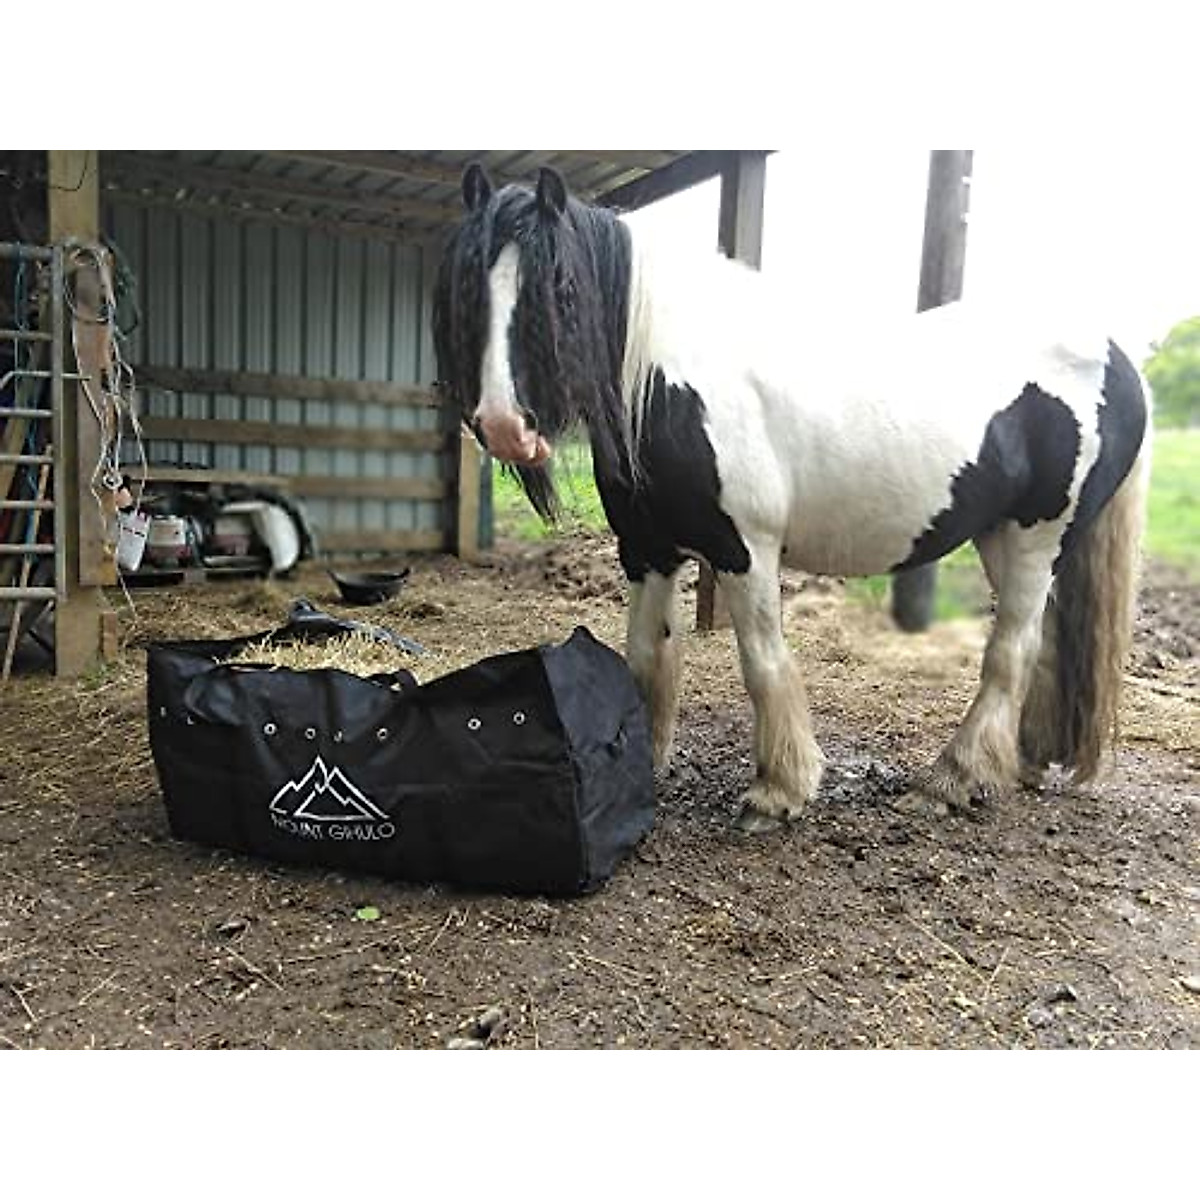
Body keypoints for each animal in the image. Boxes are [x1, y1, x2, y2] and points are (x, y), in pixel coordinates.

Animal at [433, 162, 1150, 831]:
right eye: (470, 287)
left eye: (560, 288)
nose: (504, 427)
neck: (671, 382)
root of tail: (1118, 359)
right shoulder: (647, 550)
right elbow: (646, 657)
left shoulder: (743, 550)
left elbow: (762, 663)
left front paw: (778, 790)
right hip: (1002, 536)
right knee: (1045, 645)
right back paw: (1023, 760)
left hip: (1037, 536)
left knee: (1011, 650)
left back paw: (952, 779)